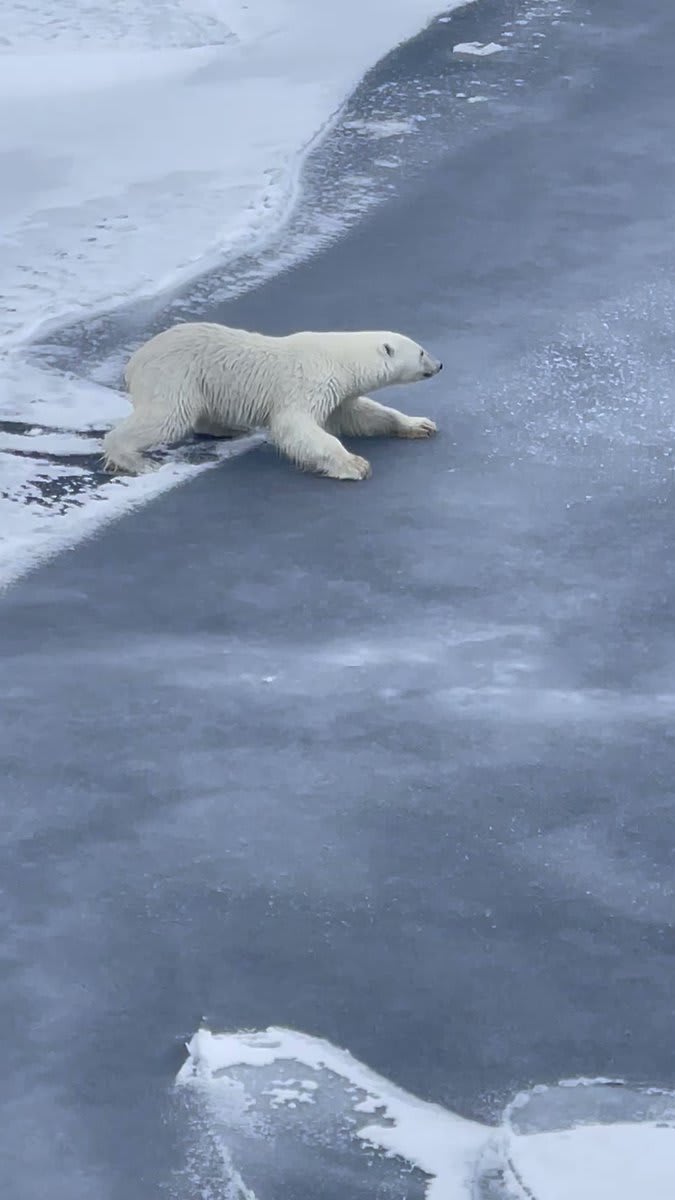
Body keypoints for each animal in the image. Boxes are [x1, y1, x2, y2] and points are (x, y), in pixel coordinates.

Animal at [102, 321, 442, 480]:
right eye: (421, 351)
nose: (439, 364)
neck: (339, 358)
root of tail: (133, 363)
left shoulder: (338, 392)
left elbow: (359, 415)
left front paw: (420, 424)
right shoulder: (309, 383)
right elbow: (296, 426)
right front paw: (355, 465)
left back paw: (229, 428)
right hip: (174, 374)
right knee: (167, 416)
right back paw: (134, 459)